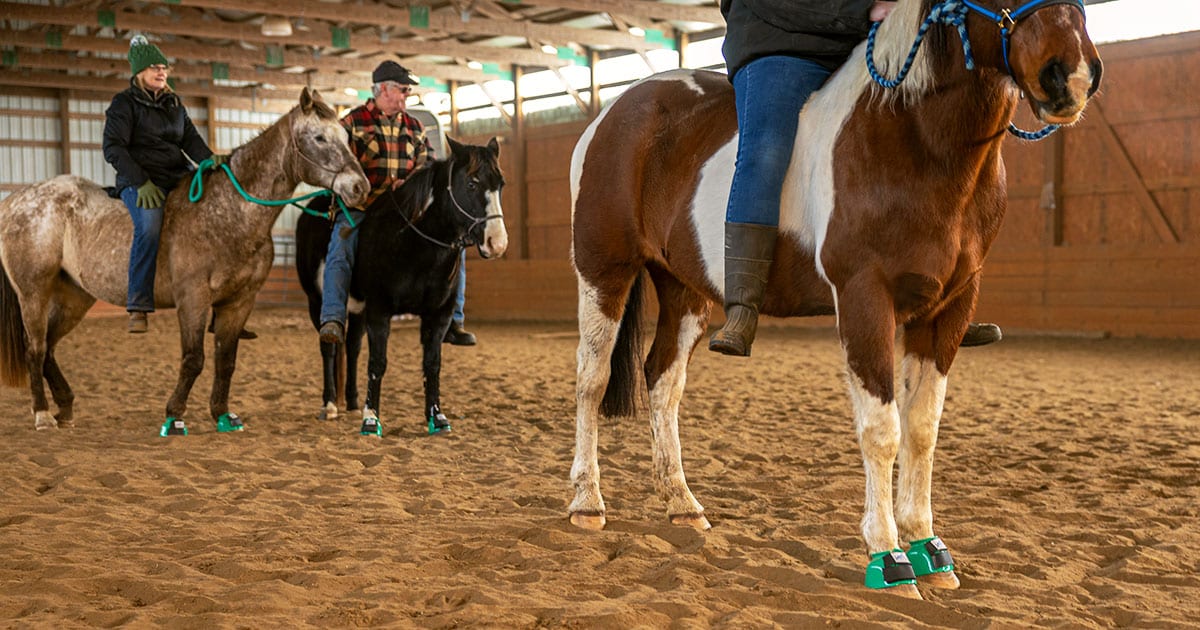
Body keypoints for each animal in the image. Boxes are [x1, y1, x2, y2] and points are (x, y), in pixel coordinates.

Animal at [0, 88, 369, 436]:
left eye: (346, 135)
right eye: (319, 137)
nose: (359, 187)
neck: (229, 211)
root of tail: (17, 200)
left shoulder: (239, 302)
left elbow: (226, 361)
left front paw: (223, 414)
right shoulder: (193, 298)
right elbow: (194, 359)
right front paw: (174, 416)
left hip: (75, 297)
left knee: (49, 348)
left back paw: (65, 407)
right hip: (34, 293)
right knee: (35, 349)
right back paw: (42, 414)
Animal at [296, 137, 507, 436]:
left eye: (501, 184)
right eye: (471, 183)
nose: (497, 243)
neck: (412, 243)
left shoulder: (438, 315)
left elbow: (432, 364)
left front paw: (436, 417)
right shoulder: (379, 311)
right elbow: (378, 363)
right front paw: (371, 419)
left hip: (358, 309)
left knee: (352, 347)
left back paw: (352, 401)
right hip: (317, 301)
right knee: (330, 348)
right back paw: (330, 404)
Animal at [567, 0, 1101, 597]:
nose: (1070, 76)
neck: (912, 134)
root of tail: (614, 114)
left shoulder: (948, 309)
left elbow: (922, 429)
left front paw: (929, 549)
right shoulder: (866, 300)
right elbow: (882, 430)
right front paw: (889, 558)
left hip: (682, 289)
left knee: (662, 382)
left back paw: (682, 505)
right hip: (604, 271)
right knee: (592, 378)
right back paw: (587, 502)